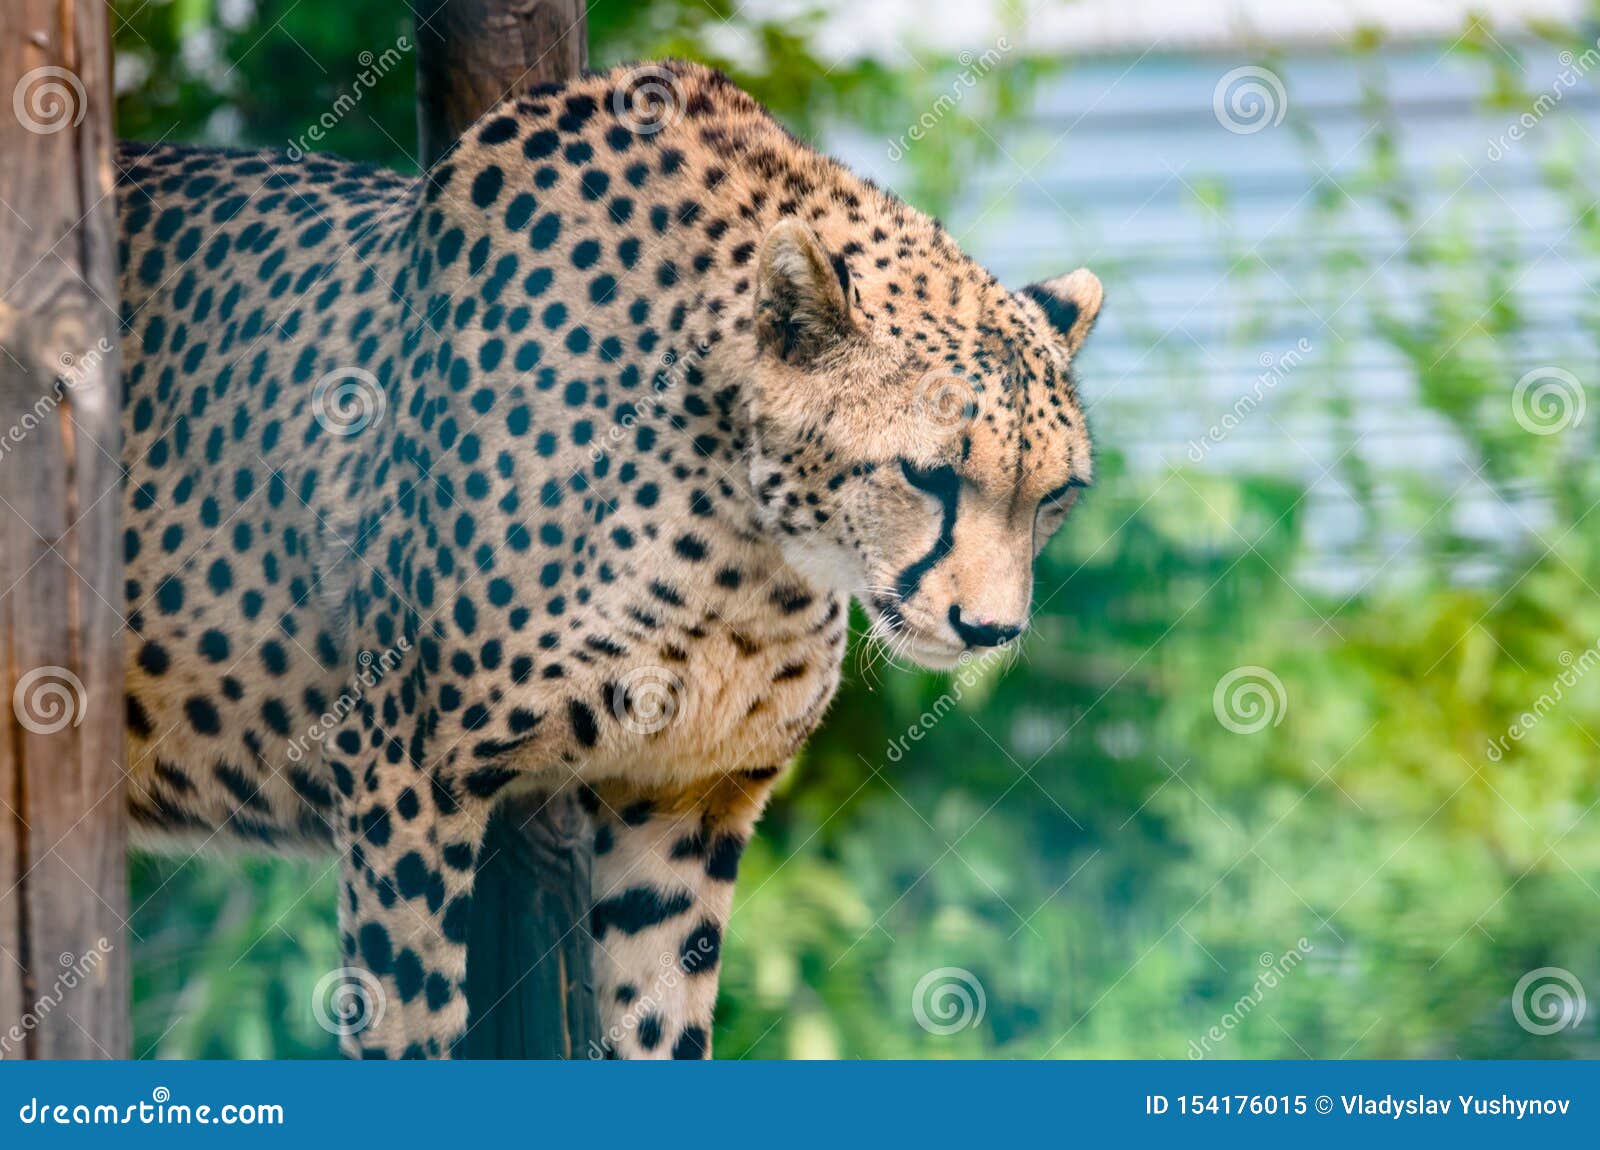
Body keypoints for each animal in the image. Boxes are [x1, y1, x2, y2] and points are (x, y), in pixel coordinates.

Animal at [113, 59, 1102, 1060]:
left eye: (1054, 497)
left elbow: (665, 1015)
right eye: (928, 475)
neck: (751, 544)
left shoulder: (684, 796)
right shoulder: (401, 775)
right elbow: (408, 1018)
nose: (991, 630)